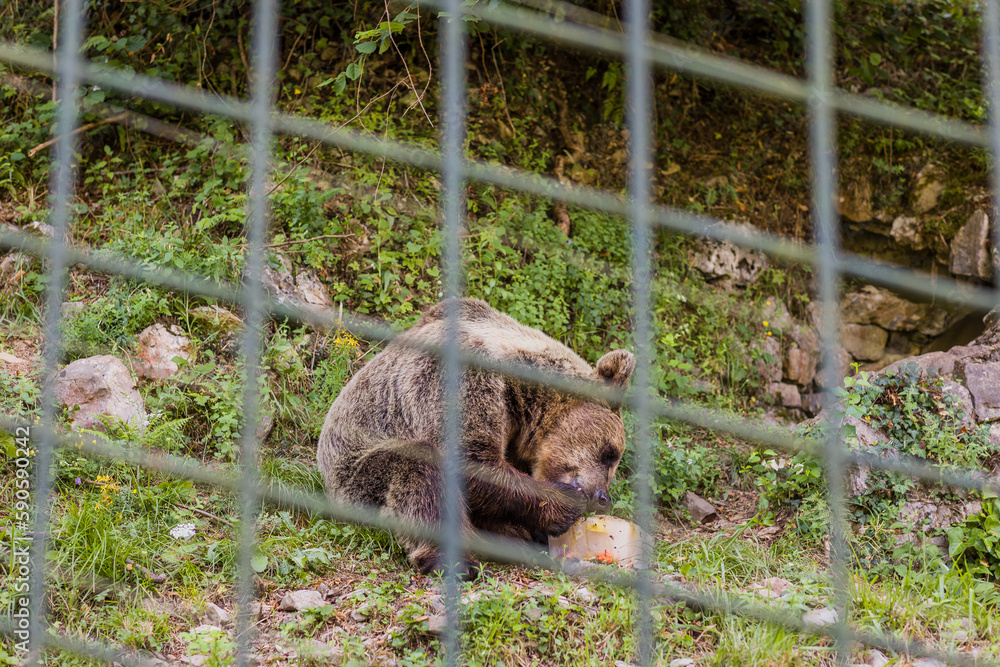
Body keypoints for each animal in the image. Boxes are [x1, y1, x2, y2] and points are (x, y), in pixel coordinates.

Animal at [316, 298, 635, 575]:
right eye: (610, 453)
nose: (602, 497)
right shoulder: (459, 378)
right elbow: (471, 459)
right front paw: (564, 504)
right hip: (358, 476)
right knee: (419, 471)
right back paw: (454, 562)